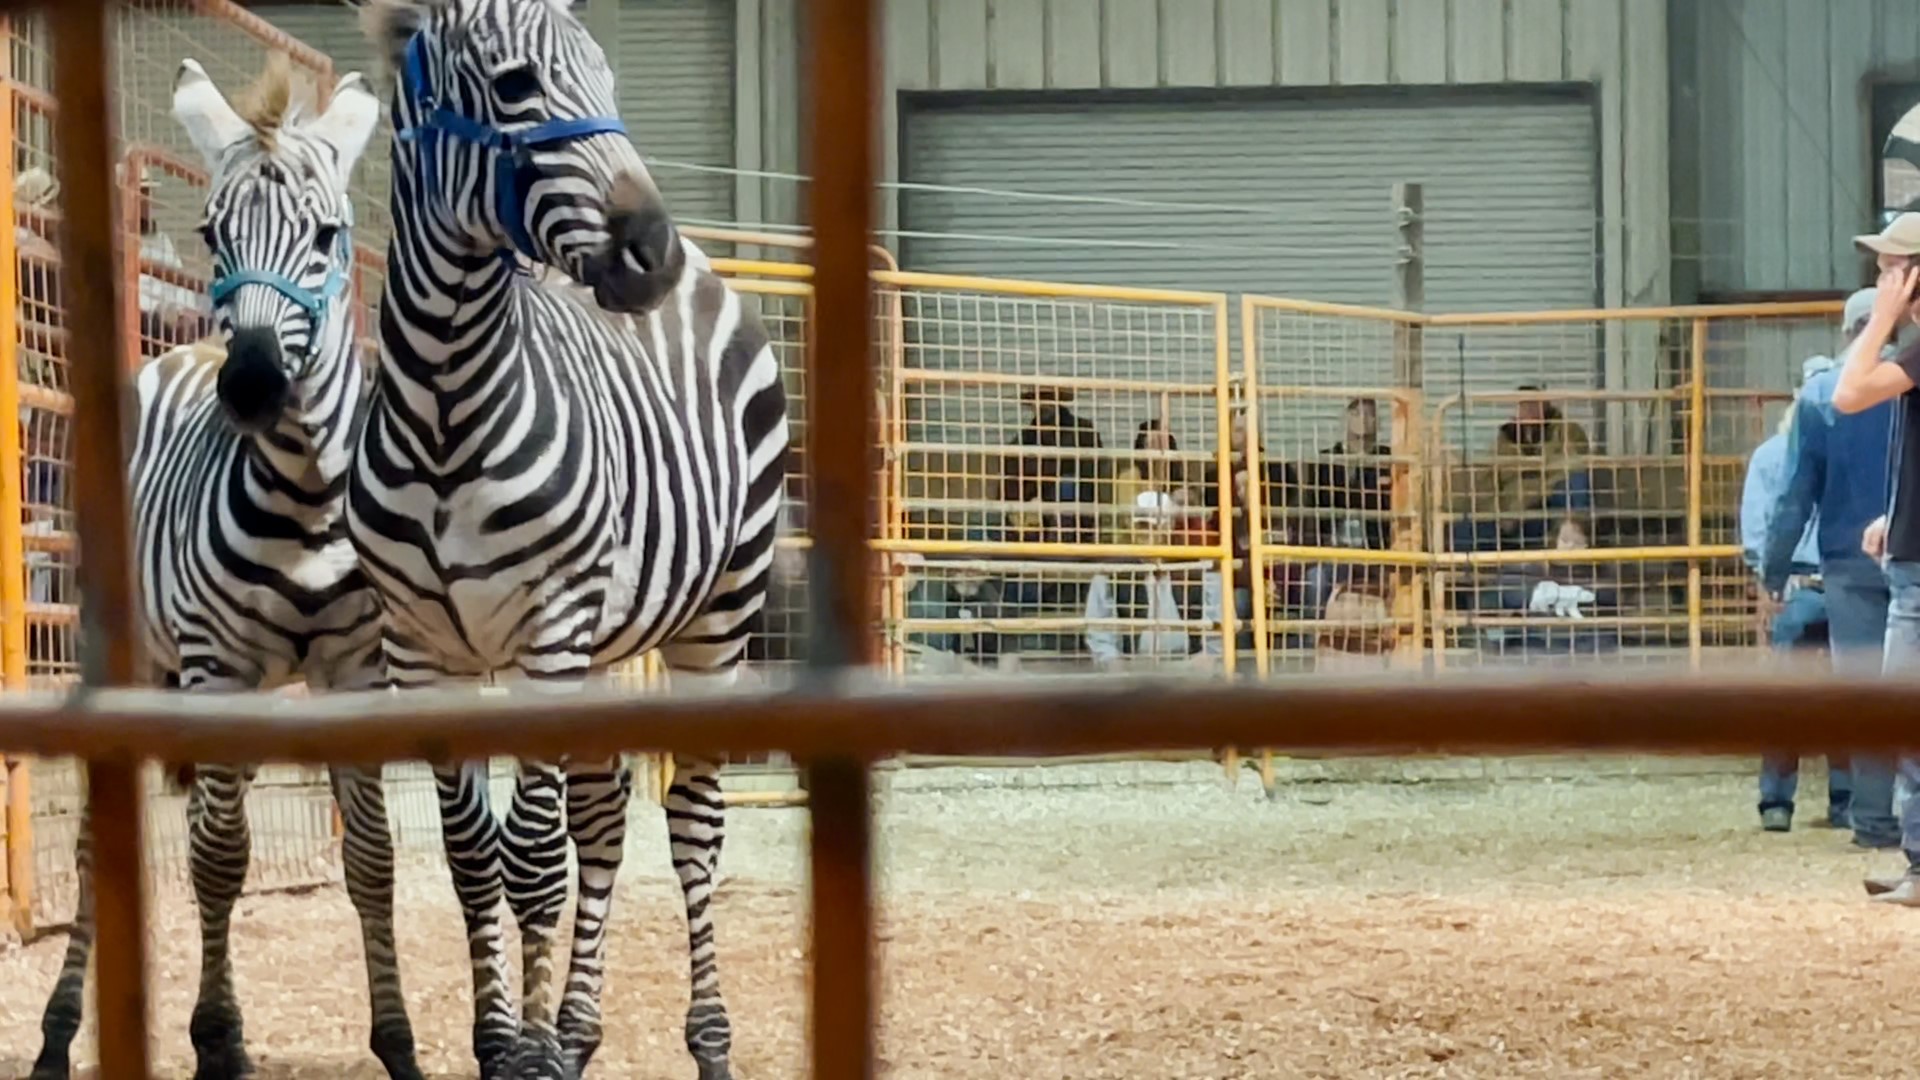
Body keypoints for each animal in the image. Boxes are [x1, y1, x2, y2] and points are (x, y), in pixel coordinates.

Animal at [28, 58, 422, 1080]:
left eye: (327, 236)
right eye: (213, 234)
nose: (249, 385)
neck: (309, 498)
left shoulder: (354, 671)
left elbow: (371, 857)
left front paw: (398, 1042)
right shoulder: (216, 669)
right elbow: (215, 861)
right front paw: (216, 1039)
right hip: (143, 655)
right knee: (100, 842)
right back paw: (58, 1032)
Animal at [353, 0, 789, 1076]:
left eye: (609, 80)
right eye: (515, 86)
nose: (653, 252)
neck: (444, 405)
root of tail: (712, 270)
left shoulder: (546, 633)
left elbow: (532, 857)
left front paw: (532, 1049)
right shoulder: (421, 652)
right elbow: (477, 858)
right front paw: (504, 1039)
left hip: (718, 615)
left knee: (693, 822)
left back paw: (707, 1039)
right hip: (604, 637)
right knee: (602, 821)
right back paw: (583, 1030)